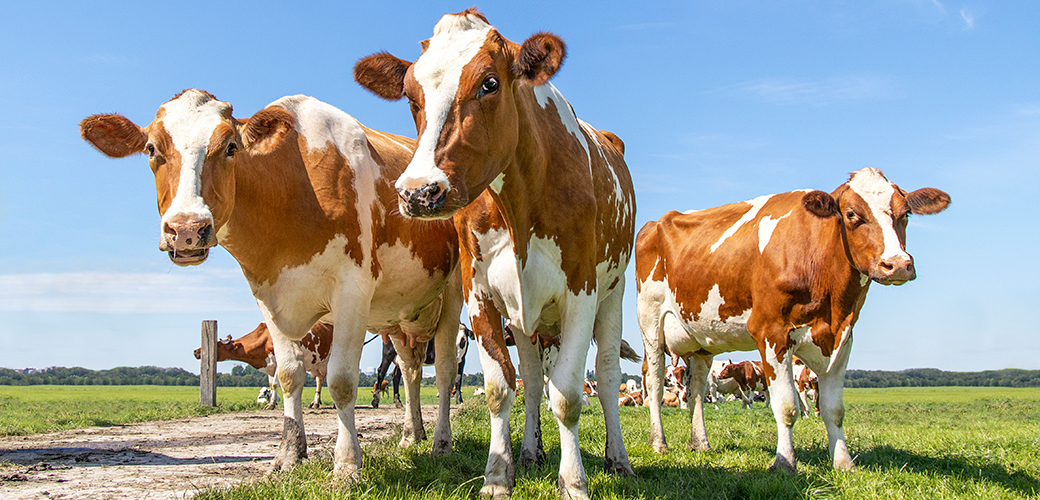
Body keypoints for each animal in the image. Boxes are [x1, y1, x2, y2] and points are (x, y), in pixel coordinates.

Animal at [191, 320, 328, 409]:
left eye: (216, 344)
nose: (196, 351)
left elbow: (275, 384)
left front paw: (271, 404)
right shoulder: (270, 365)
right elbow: (271, 384)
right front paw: (273, 401)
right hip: (317, 364)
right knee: (319, 381)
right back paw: (315, 403)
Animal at [353, 8, 636, 498]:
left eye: (489, 83)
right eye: (410, 94)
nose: (418, 192)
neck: (520, 202)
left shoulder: (581, 290)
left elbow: (568, 392)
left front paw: (573, 481)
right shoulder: (479, 289)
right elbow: (503, 386)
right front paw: (498, 474)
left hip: (613, 293)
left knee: (605, 374)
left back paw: (617, 459)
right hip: (523, 314)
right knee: (531, 372)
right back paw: (530, 451)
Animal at [632, 168, 952, 471]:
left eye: (905, 213)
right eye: (851, 214)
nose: (897, 264)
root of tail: (655, 223)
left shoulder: (842, 338)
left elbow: (834, 409)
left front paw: (843, 463)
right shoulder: (771, 332)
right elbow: (786, 407)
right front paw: (785, 463)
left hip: (700, 338)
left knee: (697, 389)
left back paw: (700, 443)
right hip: (651, 323)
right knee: (656, 382)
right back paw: (659, 443)